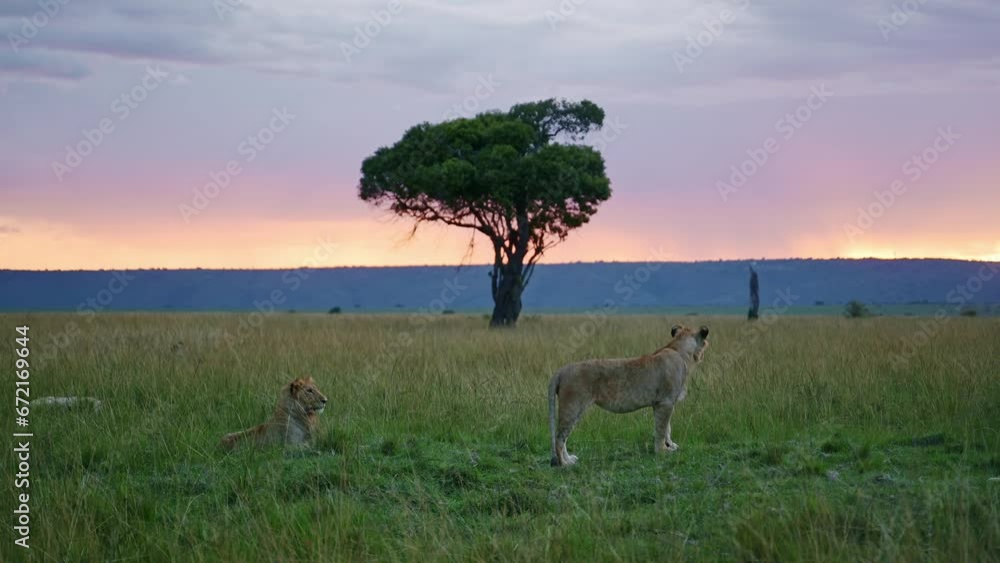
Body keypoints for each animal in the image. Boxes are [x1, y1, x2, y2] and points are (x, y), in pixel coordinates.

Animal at [548, 324, 710, 466]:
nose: (703, 355)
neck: (678, 350)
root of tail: (562, 370)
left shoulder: (660, 404)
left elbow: (666, 427)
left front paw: (670, 445)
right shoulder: (666, 402)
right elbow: (662, 428)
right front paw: (662, 451)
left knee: (563, 437)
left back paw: (570, 459)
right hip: (572, 407)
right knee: (559, 438)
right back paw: (564, 464)